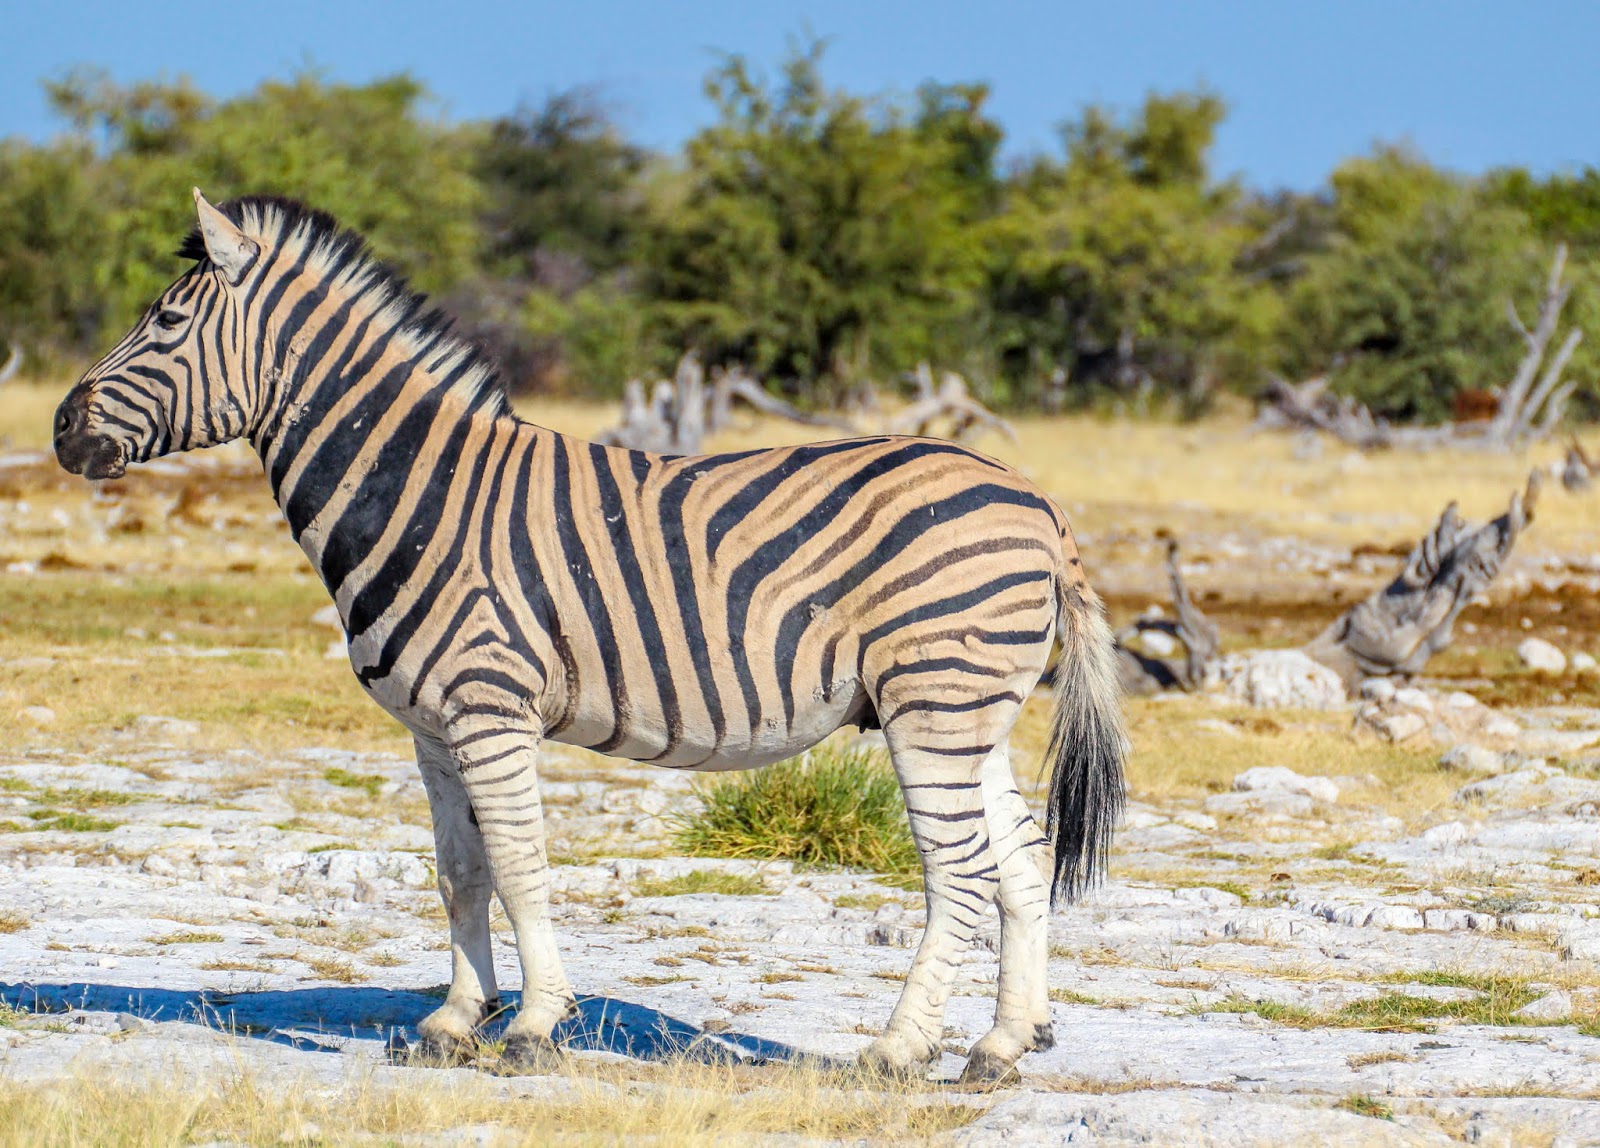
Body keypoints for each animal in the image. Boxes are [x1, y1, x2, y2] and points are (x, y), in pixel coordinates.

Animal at [54, 191, 1126, 1083]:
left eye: (166, 323)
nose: (63, 429)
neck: (423, 491)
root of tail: (1038, 504)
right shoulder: (430, 727)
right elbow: (461, 872)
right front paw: (455, 1021)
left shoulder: (490, 707)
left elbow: (521, 864)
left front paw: (533, 1026)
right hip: (969, 710)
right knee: (1019, 862)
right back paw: (1001, 1044)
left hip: (931, 700)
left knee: (962, 872)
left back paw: (899, 1052)